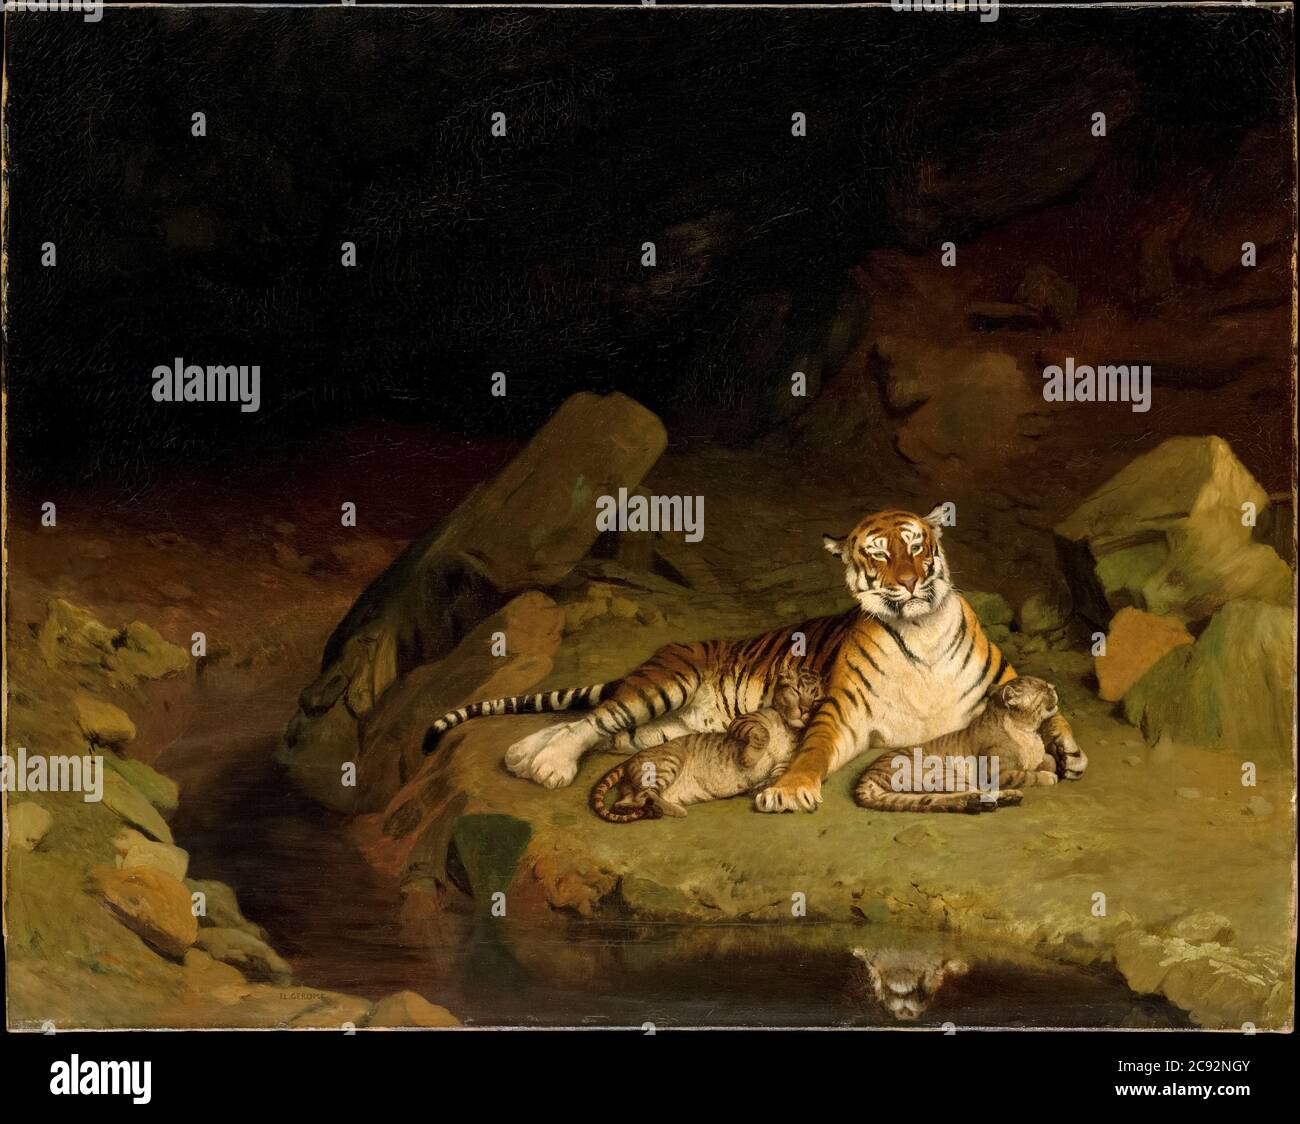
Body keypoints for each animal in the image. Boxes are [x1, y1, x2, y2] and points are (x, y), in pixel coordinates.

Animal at [853, 676, 1062, 814]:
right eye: (1044, 689)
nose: (1054, 687)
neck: (1028, 731)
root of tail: (866, 776)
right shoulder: (995, 773)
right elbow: (1026, 775)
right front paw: (1049, 776)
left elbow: (1048, 759)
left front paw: (1053, 764)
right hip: (945, 772)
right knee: (976, 791)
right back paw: (1003, 797)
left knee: (933, 799)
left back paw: (980, 803)